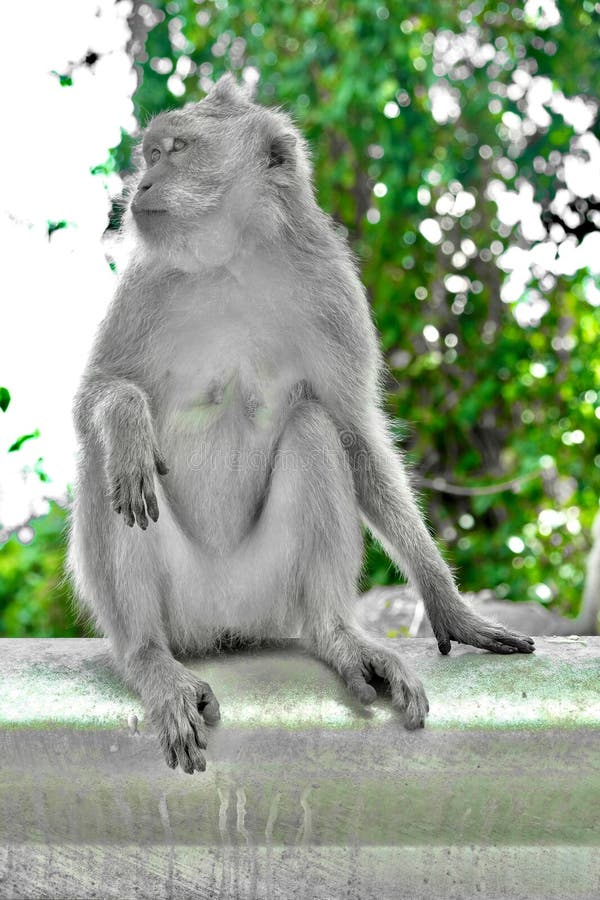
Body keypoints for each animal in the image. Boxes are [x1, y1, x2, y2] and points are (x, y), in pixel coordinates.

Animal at [68, 74, 534, 774]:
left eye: (175, 150)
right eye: (151, 154)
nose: (140, 187)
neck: (233, 257)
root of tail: (226, 626)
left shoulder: (332, 287)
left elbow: (353, 430)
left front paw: (448, 604)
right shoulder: (143, 285)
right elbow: (94, 401)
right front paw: (126, 416)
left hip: (269, 593)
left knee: (313, 428)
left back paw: (337, 635)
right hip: (184, 606)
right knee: (110, 463)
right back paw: (148, 657)